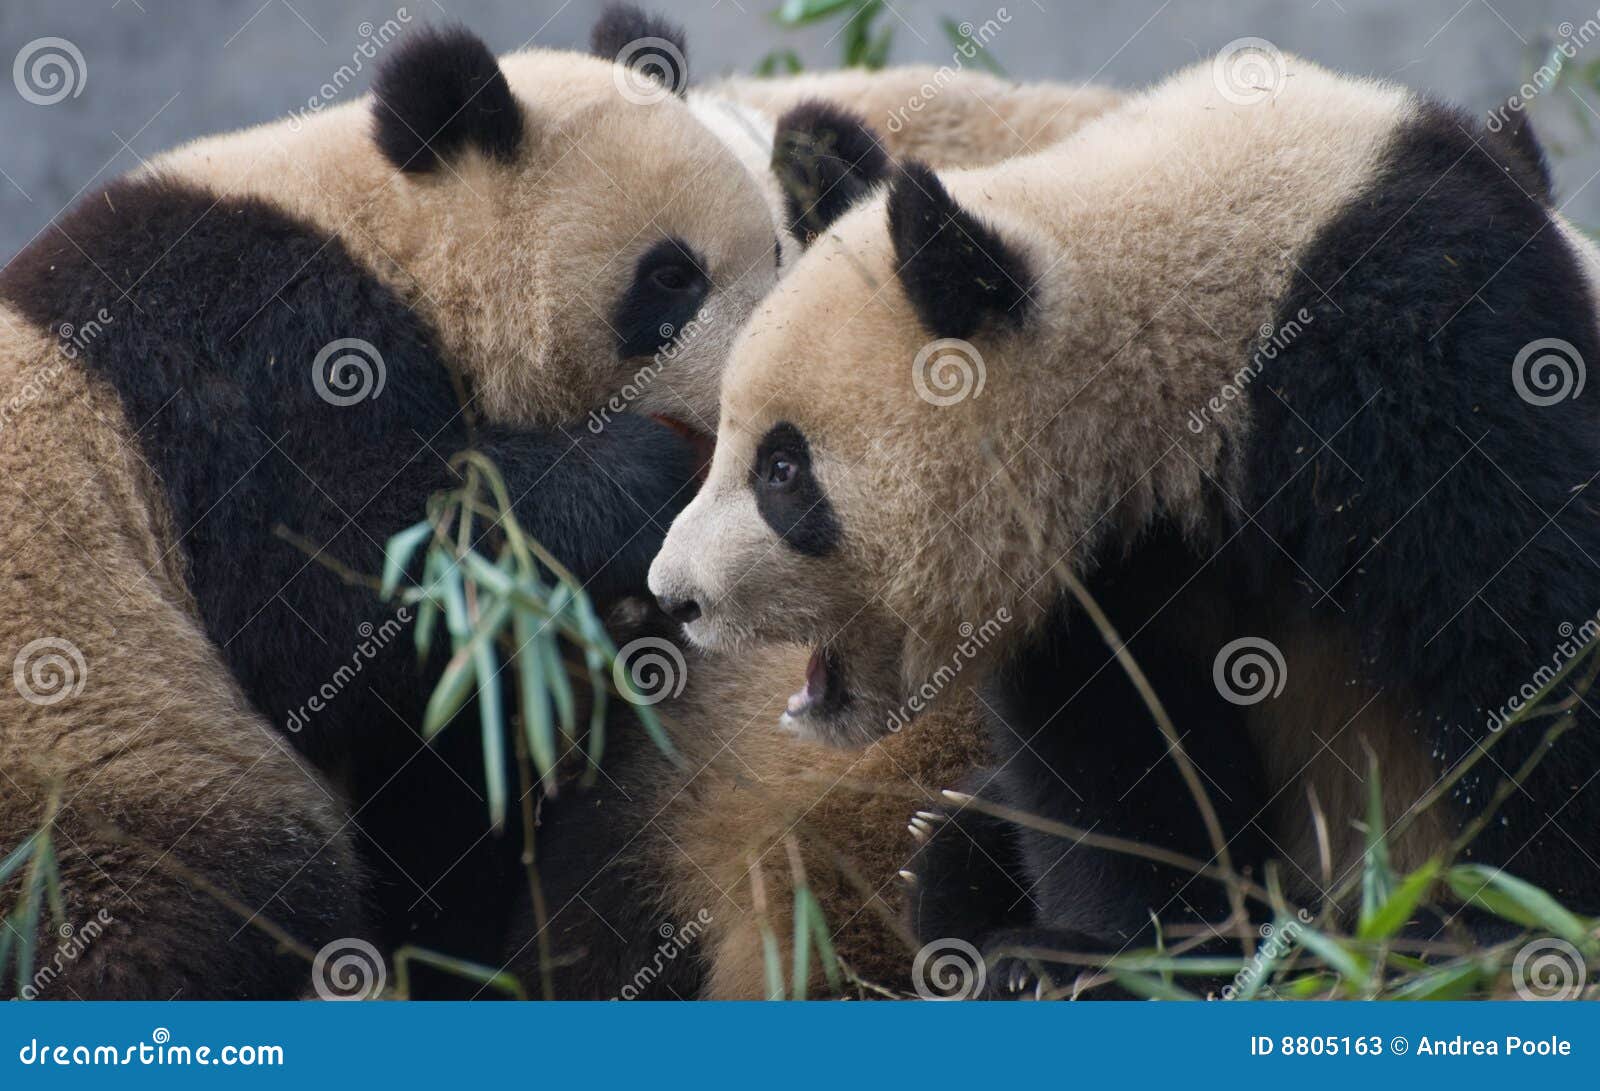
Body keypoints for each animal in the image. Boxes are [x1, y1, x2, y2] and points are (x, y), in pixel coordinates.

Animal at [648, 55, 1600, 996]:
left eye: (781, 469)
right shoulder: (1110, 552)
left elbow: (1527, 645)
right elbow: (1117, 752)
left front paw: (1506, 924)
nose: (674, 595)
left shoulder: (1431, 348)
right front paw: (1097, 950)